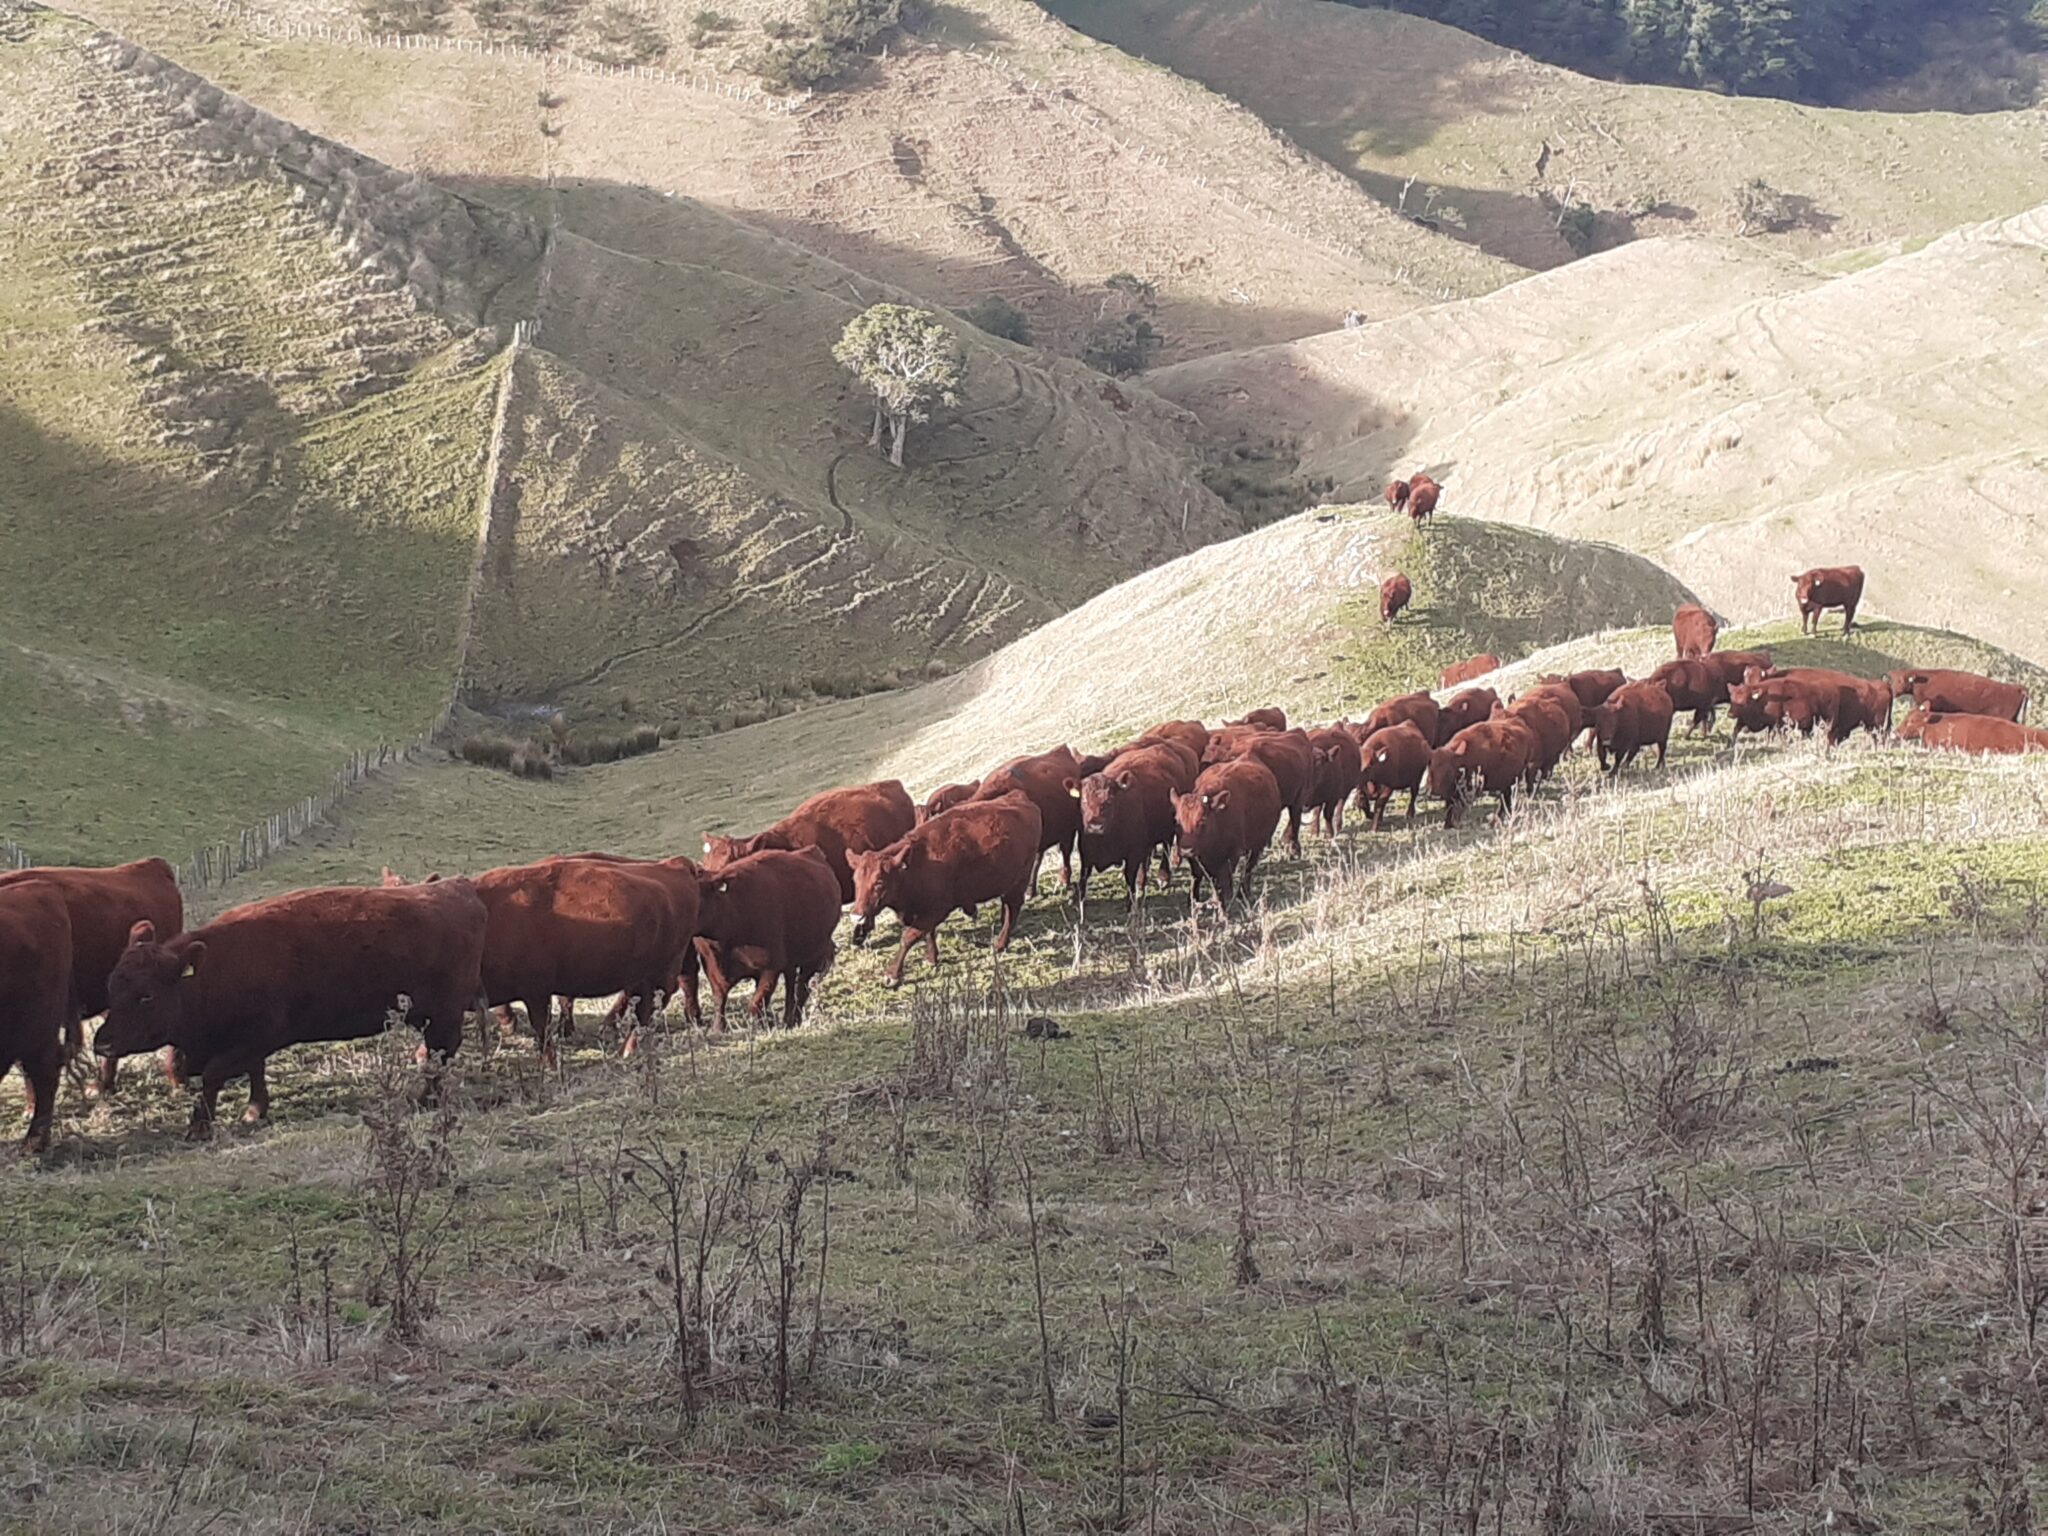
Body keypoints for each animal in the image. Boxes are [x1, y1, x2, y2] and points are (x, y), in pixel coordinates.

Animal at [95, 880, 489, 1139]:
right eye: (112, 986)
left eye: (146, 996)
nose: (102, 1042)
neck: (213, 968)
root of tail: (456, 889)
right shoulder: (249, 1041)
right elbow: (254, 1071)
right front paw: (255, 1110)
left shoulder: (259, 1035)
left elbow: (214, 1074)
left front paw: (200, 1126)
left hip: (443, 1015)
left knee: (440, 1052)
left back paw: (426, 1099)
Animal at [684, 848, 840, 1031]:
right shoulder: (712, 967)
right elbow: (720, 998)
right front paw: (718, 1028)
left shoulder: (771, 966)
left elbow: (757, 1002)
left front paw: (761, 1026)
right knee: (791, 984)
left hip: (813, 955)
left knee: (801, 988)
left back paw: (792, 1019)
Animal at [849, 793, 1043, 988]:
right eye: (856, 880)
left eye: (879, 882)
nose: (856, 915)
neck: (916, 862)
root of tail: (1020, 799)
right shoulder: (924, 910)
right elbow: (928, 933)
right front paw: (931, 958)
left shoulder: (937, 910)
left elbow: (908, 937)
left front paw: (892, 975)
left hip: (1017, 883)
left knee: (1013, 909)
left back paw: (1000, 944)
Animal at [1073, 746, 1185, 907]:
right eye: (1084, 800)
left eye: (1110, 800)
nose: (1096, 827)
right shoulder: (1086, 857)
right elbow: (1082, 882)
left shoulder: (1132, 854)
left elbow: (1129, 880)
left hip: (1168, 830)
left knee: (1166, 848)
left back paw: (1163, 877)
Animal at [1172, 759, 1284, 910]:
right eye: (1177, 820)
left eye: (1202, 819)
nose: (1185, 850)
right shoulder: (1198, 859)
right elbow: (1200, 877)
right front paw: (1195, 903)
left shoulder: (1232, 855)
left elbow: (1223, 882)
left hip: (1257, 846)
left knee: (1248, 869)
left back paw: (1243, 893)